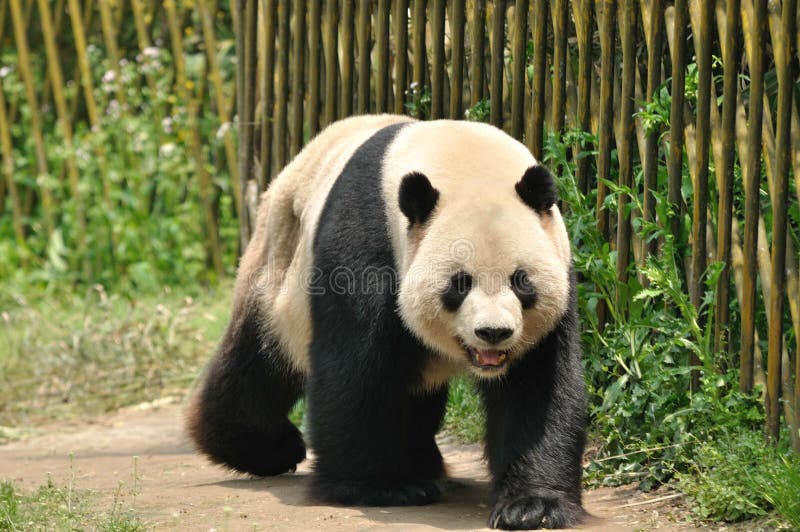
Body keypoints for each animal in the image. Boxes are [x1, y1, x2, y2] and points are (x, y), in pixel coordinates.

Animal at [187, 115, 587, 530]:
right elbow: (355, 371)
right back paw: (266, 446)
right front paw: (380, 488)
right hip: (279, 267)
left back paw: (423, 462)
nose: (493, 333)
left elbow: (536, 387)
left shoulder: (557, 274)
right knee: (259, 366)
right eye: (459, 284)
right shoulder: (367, 243)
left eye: (521, 281)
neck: (462, 159)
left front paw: (532, 507)